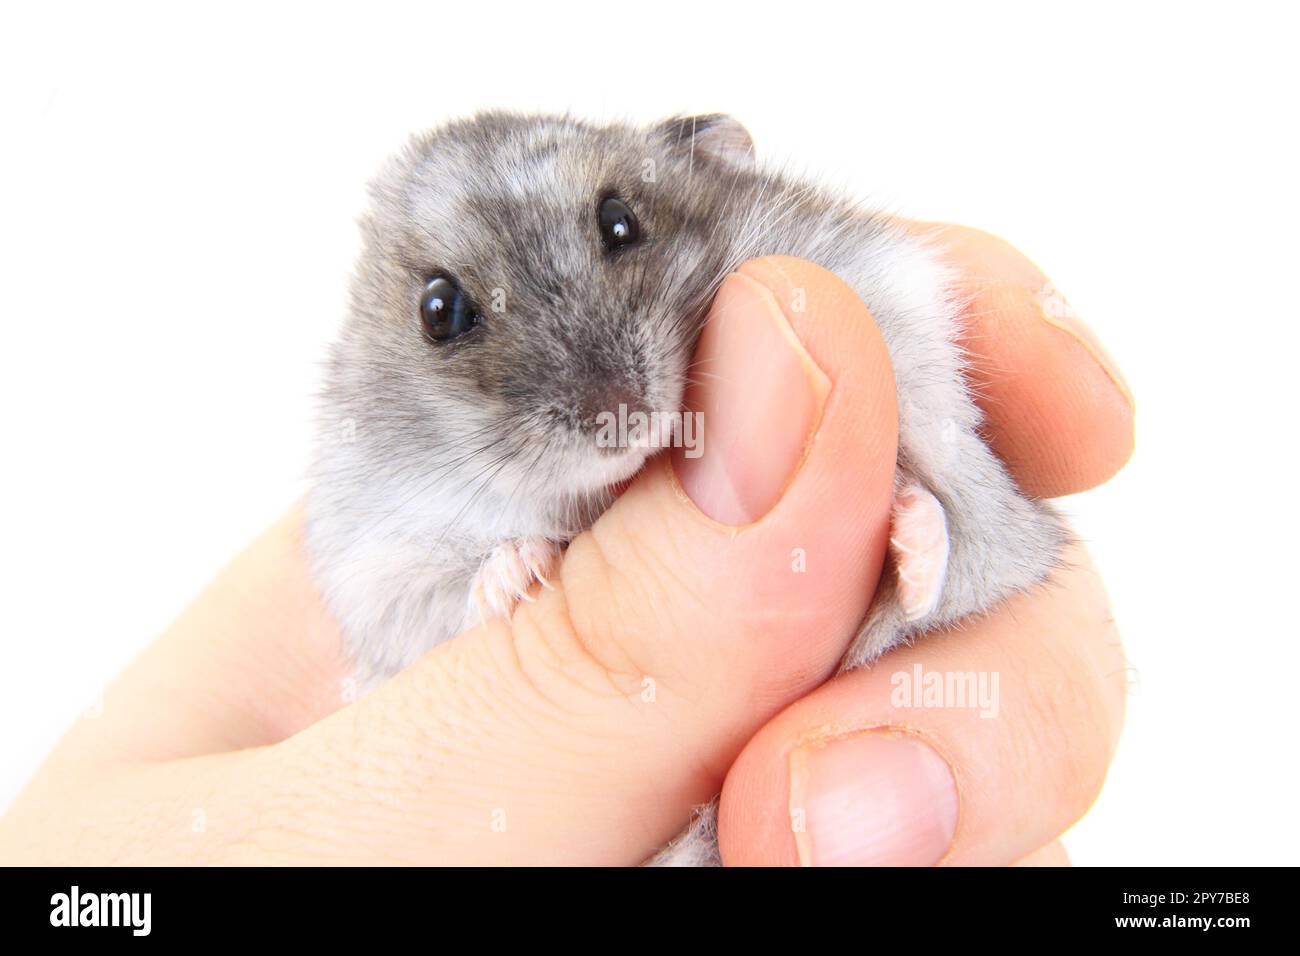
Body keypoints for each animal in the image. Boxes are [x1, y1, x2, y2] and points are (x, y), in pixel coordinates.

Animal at [306, 112, 1068, 866]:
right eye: (439, 309)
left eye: (619, 221)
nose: (622, 416)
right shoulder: (379, 580)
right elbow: (455, 593)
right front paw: (521, 571)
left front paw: (912, 526)